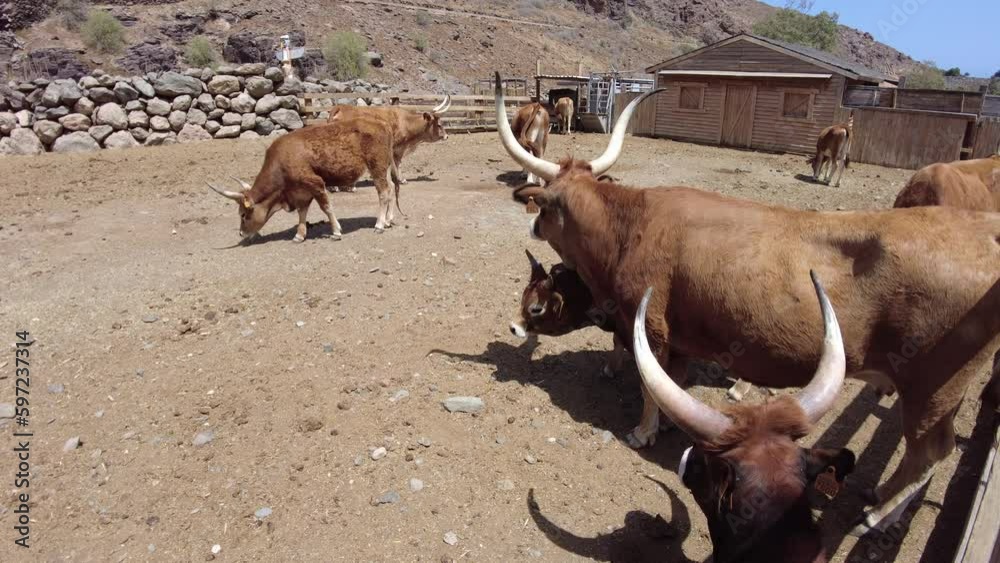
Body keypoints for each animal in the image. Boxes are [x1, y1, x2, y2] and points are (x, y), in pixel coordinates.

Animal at [209, 115, 408, 242]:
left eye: (243, 215)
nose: (241, 234)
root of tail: (382, 123)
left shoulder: (315, 183)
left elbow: (326, 207)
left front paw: (336, 231)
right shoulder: (301, 191)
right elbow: (302, 212)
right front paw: (299, 234)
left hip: (377, 167)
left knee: (383, 192)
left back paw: (380, 224)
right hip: (383, 167)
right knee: (391, 188)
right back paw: (388, 219)